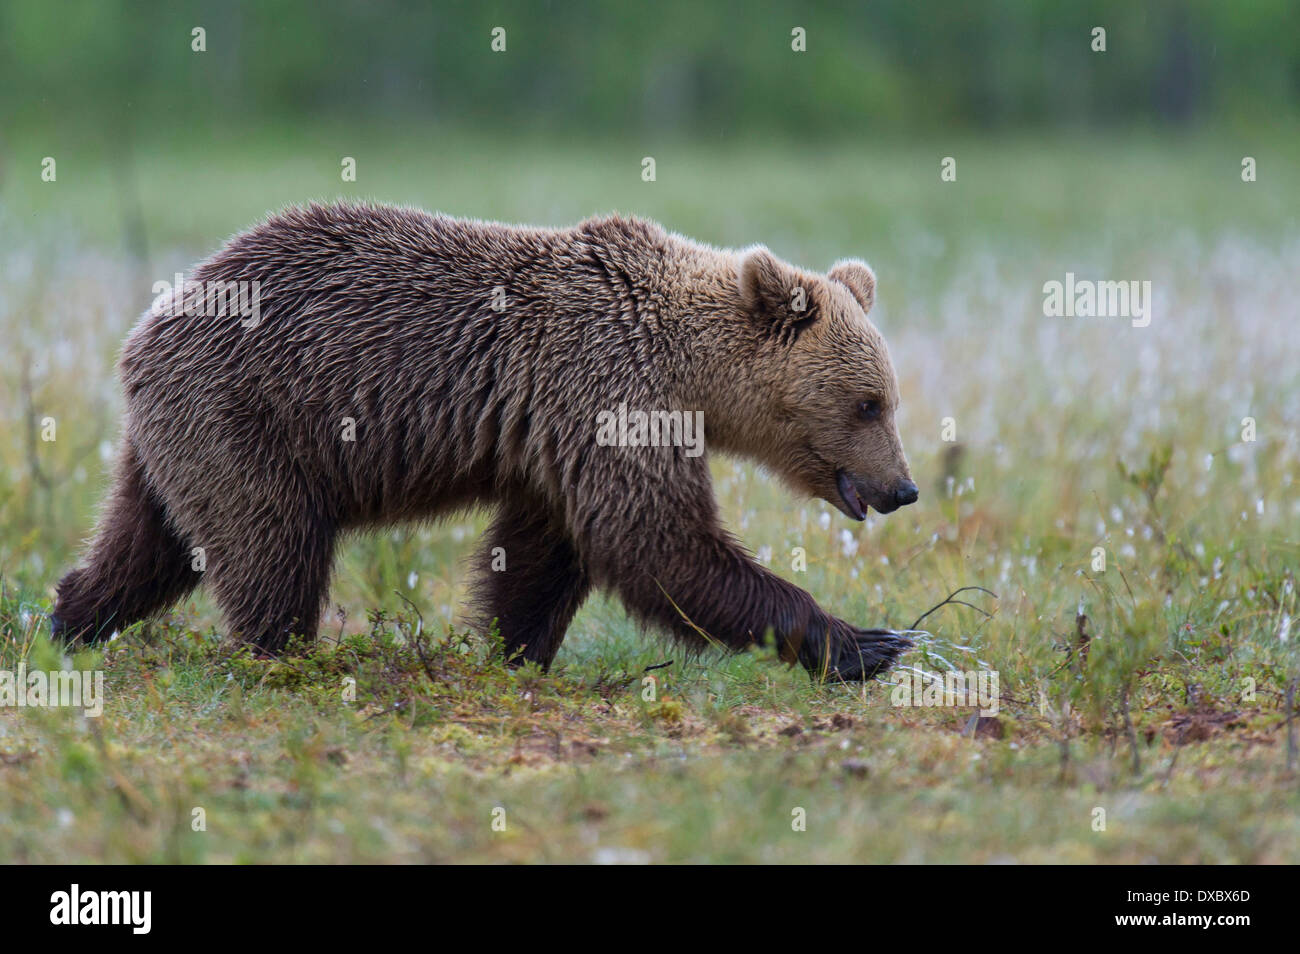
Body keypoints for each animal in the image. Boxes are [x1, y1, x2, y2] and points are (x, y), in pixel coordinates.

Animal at [52, 202, 919, 680]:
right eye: (869, 403)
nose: (903, 488)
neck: (686, 367)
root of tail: (151, 323)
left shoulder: (554, 437)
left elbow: (544, 555)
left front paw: (516, 650)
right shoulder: (606, 390)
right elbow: (659, 543)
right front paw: (866, 642)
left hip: (176, 437)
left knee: (148, 544)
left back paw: (65, 620)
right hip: (252, 414)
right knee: (272, 546)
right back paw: (287, 653)